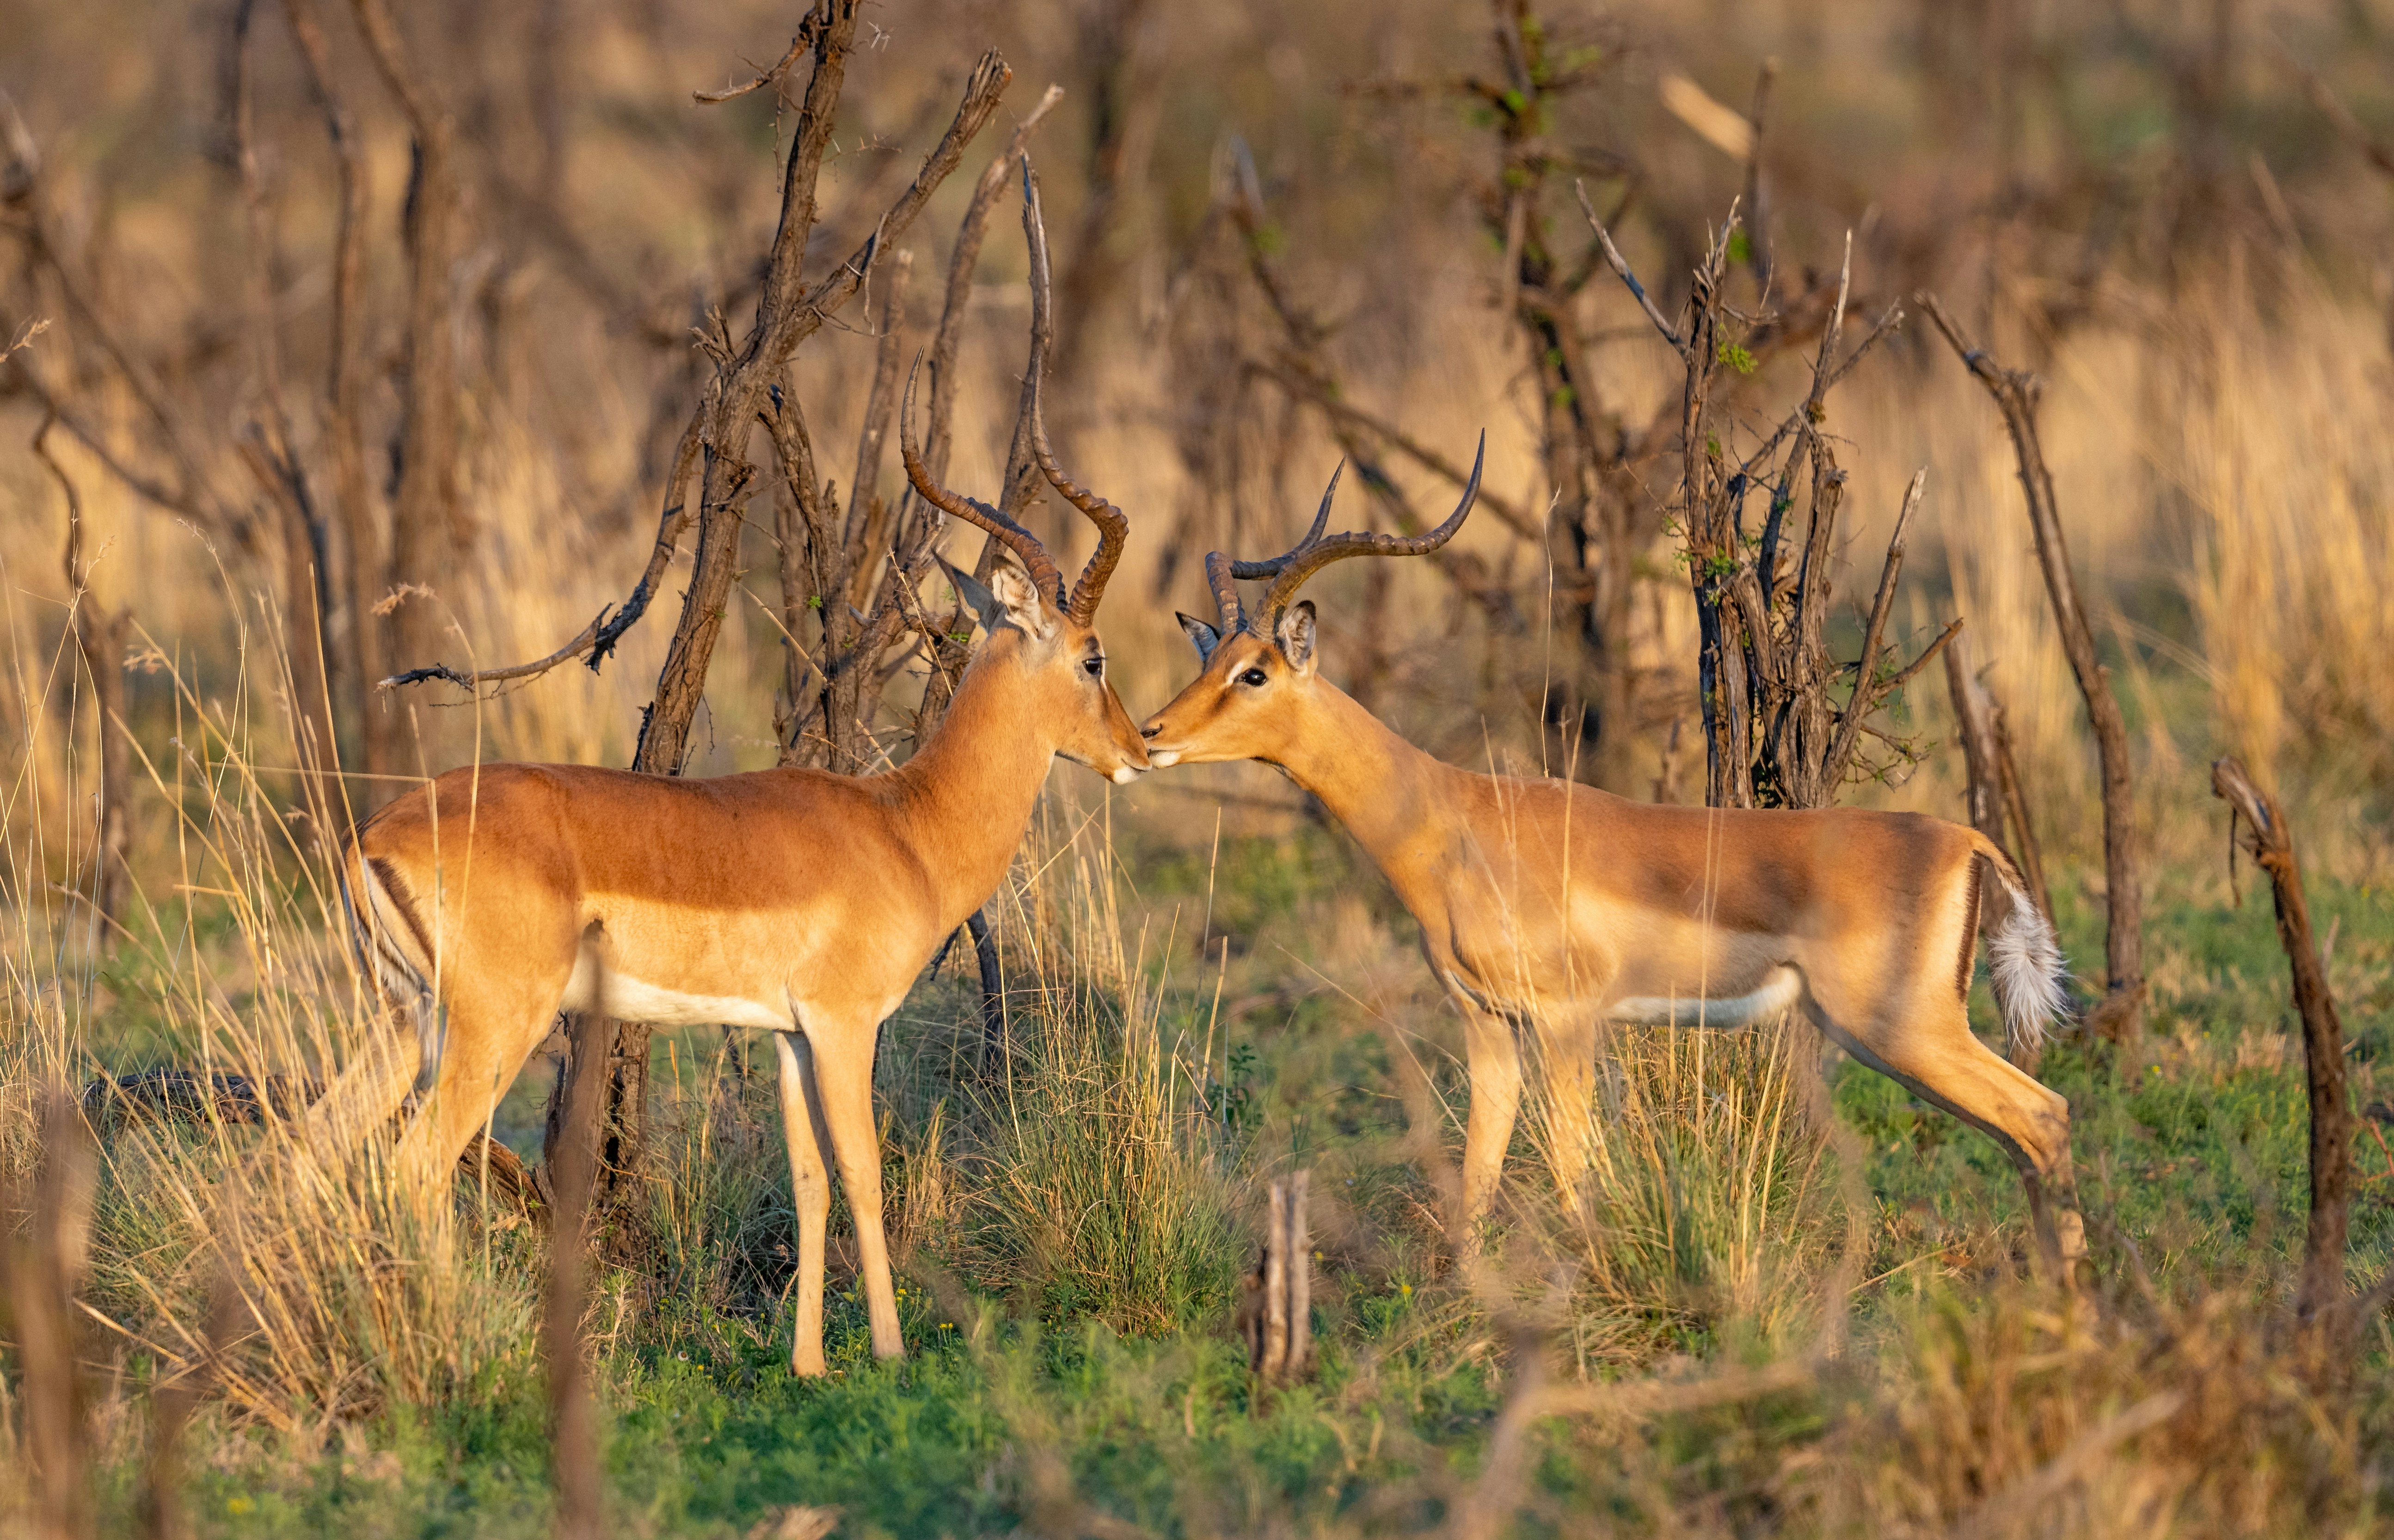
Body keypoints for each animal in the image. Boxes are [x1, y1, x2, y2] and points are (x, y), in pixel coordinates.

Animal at [318, 384, 1146, 1375]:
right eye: (1092, 657)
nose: (1139, 750)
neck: (905, 826)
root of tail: (375, 834)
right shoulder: (842, 1024)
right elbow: (864, 1172)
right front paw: (890, 1353)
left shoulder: (789, 1036)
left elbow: (809, 1179)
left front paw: (809, 1364)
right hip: (491, 1029)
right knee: (413, 1168)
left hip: (406, 1020)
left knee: (315, 1148)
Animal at [1139, 448, 2086, 1270]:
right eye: (1212, 657)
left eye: (1255, 673)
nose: (1150, 733)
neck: (1455, 818)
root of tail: (1964, 842)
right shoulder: (1488, 1024)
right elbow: (1479, 1174)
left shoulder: (1567, 1020)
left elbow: (1572, 1169)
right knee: (2028, 1132)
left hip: (1899, 1029)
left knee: (2043, 1114)